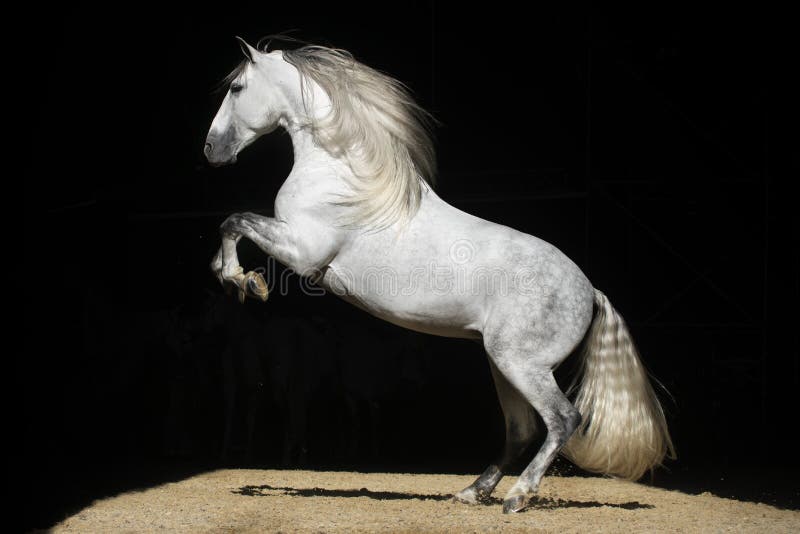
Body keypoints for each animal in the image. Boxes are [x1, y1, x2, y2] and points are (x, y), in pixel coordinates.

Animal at [204, 37, 675, 513]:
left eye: (238, 88)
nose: (210, 150)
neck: (344, 175)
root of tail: (589, 290)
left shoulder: (302, 251)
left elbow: (234, 221)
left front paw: (245, 282)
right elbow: (231, 227)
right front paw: (238, 279)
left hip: (523, 365)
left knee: (563, 420)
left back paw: (518, 496)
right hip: (503, 364)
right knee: (522, 430)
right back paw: (472, 491)